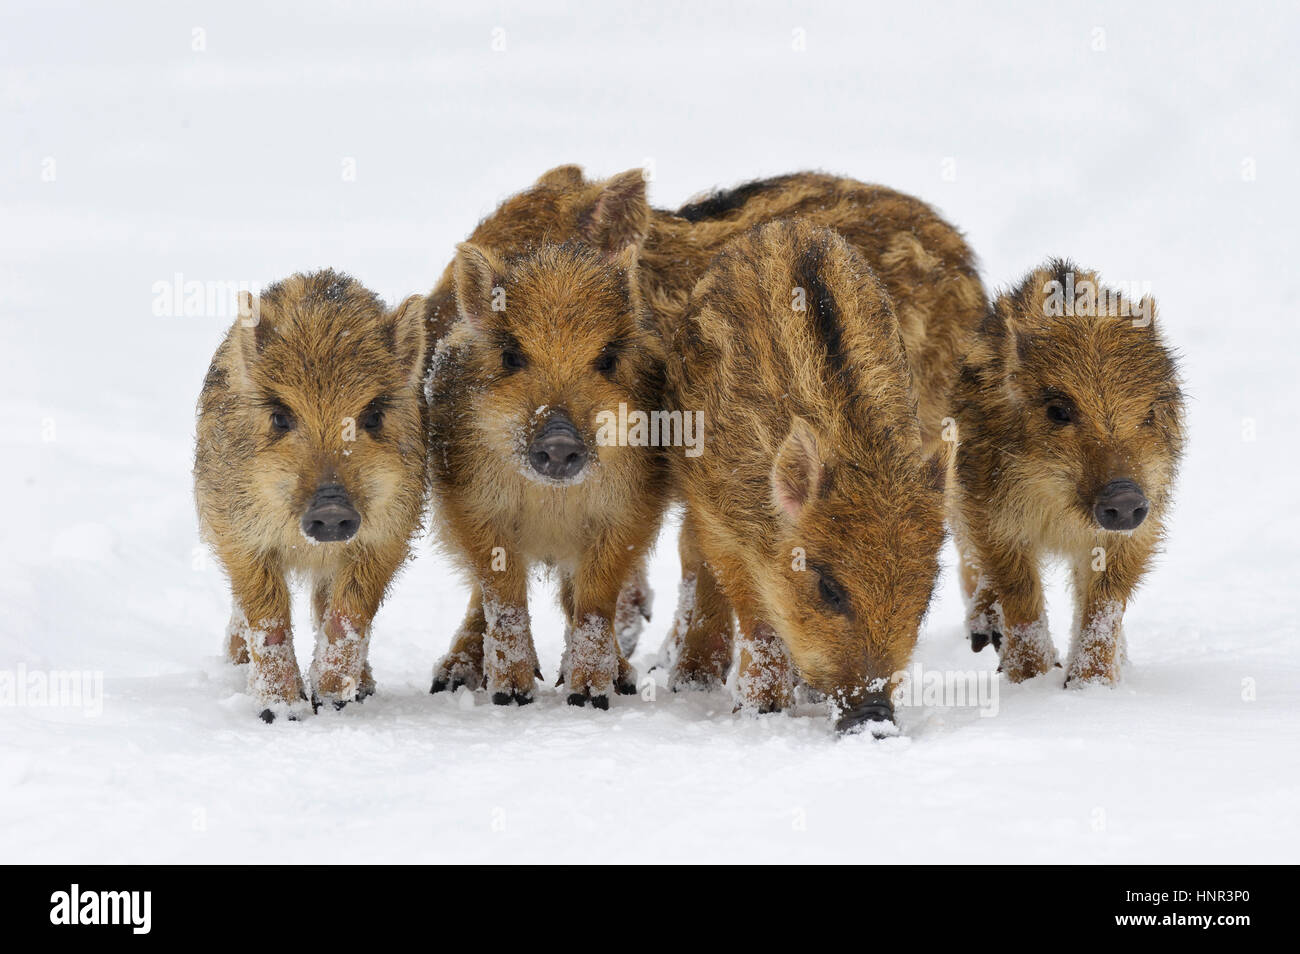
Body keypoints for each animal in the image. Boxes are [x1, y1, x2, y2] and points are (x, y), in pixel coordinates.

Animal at [194, 270, 427, 721]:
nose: (332, 508)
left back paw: (363, 688)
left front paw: (332, 701)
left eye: (374, 416)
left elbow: (348, 615)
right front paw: (283, 713)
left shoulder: (388, 535)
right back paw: (234, 667)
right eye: (280, 417)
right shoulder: (239, 534)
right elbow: (268, 620)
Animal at [425, 200, 671, 708]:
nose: (558, 442)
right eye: (511, 356)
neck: (552, 503)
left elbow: (595, 599)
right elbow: (502, 595)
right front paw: (512, 695)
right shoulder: (471, 506)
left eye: (608, 359)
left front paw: (590, 696)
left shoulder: (630, 513)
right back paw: (450, 679)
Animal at [667, 220, 948, 732]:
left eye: (927, 595)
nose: (874, 717)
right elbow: (758, 620)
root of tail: (788, 226)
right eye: (828, 589)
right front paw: (761, 713)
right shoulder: (720, 520)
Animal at [948, 260, 1185, 685]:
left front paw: (1089, 688)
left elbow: (1104, 605)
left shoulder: (1140, 529)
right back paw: (983, 637)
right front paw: (1031, 681)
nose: (1124, 496)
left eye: (1149, 413)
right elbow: (1021, 597)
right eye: (1058, 411)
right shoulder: (991, 516)